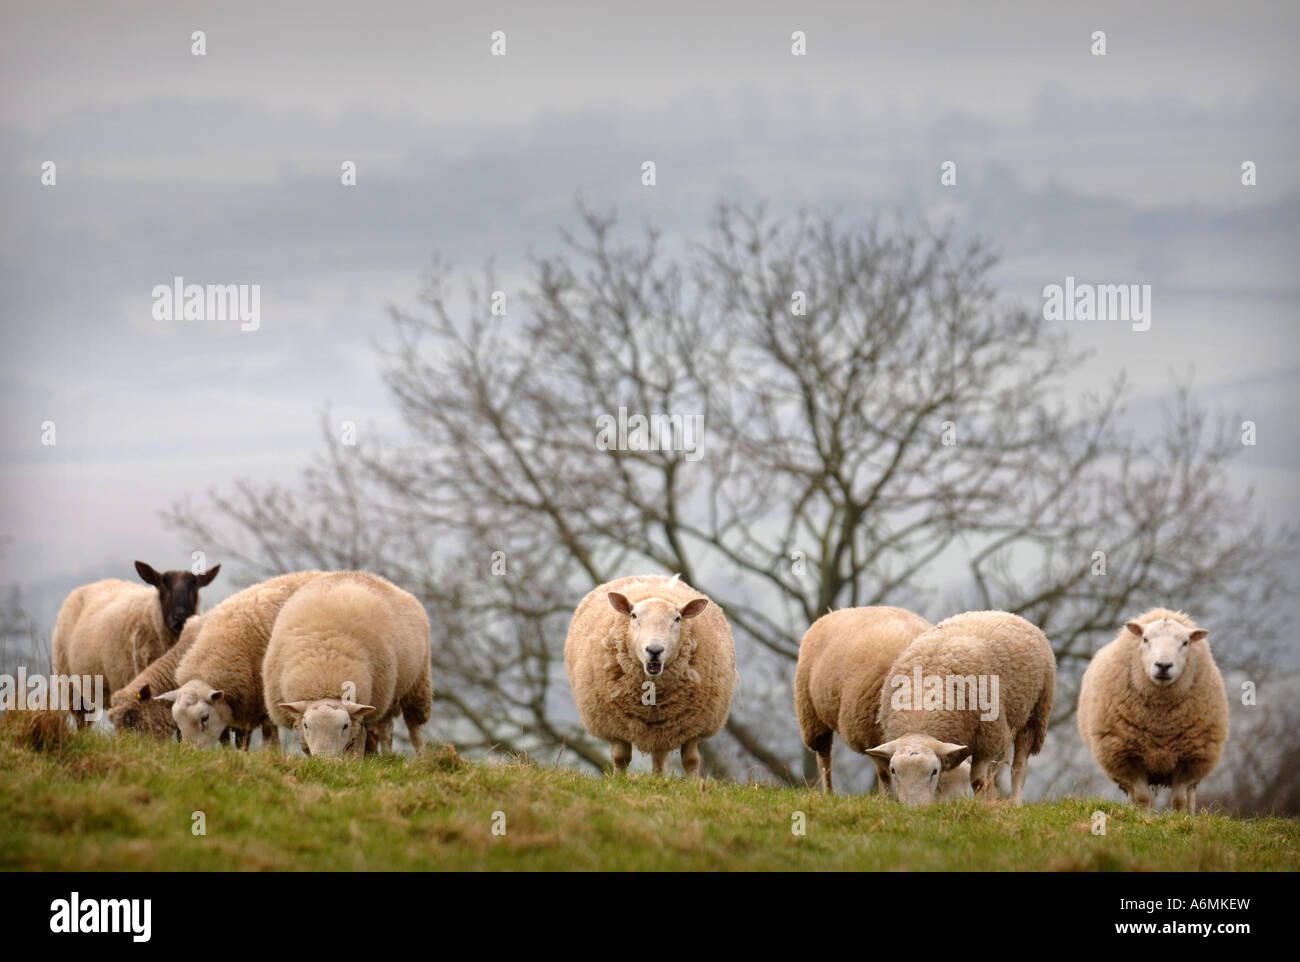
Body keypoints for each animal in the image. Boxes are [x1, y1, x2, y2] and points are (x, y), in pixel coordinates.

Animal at [155, 570, 322, 748]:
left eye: (204, 718)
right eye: (178, 722)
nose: (192, 751)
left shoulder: (261, 702)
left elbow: (266, 737)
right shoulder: (239, 705)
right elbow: (228, 740)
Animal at [263, 571, 433, 758]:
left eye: (344, 726)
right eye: (307, 725)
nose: (325, 760)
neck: (326, 674)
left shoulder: (362, 714)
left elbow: (358, 742)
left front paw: (355, 761)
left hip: (416, 685)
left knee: (414, 727)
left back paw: (421, 756)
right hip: (390, 696)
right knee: (386, 729)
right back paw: (388, 755)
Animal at [564, 574, 735, 777]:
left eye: (677, 619)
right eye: (634, 616)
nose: (654, 650)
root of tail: (652, 576)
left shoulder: (694, 726)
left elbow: (691, 760)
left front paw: (694, 782)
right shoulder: (616, 726)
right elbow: (621, 757)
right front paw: (618, 779)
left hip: (663, 729)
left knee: (659, 757)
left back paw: (659, 779)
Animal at [867, 610, 1056, 806]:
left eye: (934, 771)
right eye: (893, 770)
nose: (915, 808)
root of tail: (1004, 613)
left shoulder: (988, 737)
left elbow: (978, 780)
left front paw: (983, 805)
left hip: (1036, 714)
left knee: (1019, 767)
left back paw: (1016, 802)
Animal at [1077, 608, 1227, 813]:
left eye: (1185, 642)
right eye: (1145, 639)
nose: (1163, 665)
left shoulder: (1189, 759)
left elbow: (1179, 800)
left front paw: (1181, 817)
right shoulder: (1128, 757)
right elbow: (1141, 798)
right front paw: (1141, 816)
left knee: (1190, 795)